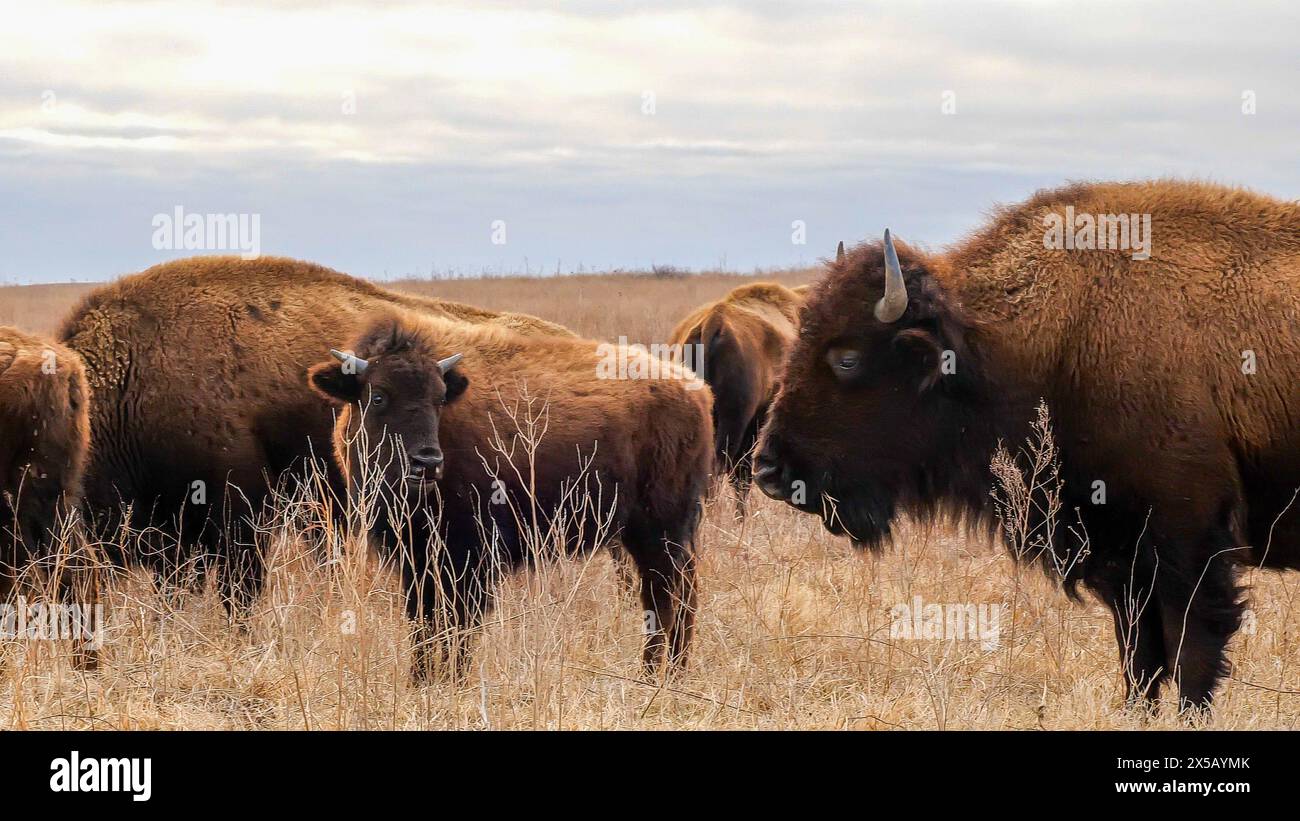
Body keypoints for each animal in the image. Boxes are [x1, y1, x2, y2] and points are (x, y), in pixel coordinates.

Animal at [310, 311, 713, 680]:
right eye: (377, 396)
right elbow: (423, 621)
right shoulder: (417, 559)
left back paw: (656, 674)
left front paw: (452, 680)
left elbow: (458, 623)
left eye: (439, 399)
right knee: (678, 594)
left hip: (659, 532)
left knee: (667, 595)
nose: (427, 462)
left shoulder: (469, 558)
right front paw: (420, 681)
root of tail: (695, 391)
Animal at [756, 180, 1300, 714]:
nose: (769, 471)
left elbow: (1191, 646)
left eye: (846, 358)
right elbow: (1139, 653)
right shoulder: (1119, 552)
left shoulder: (1186, 540)